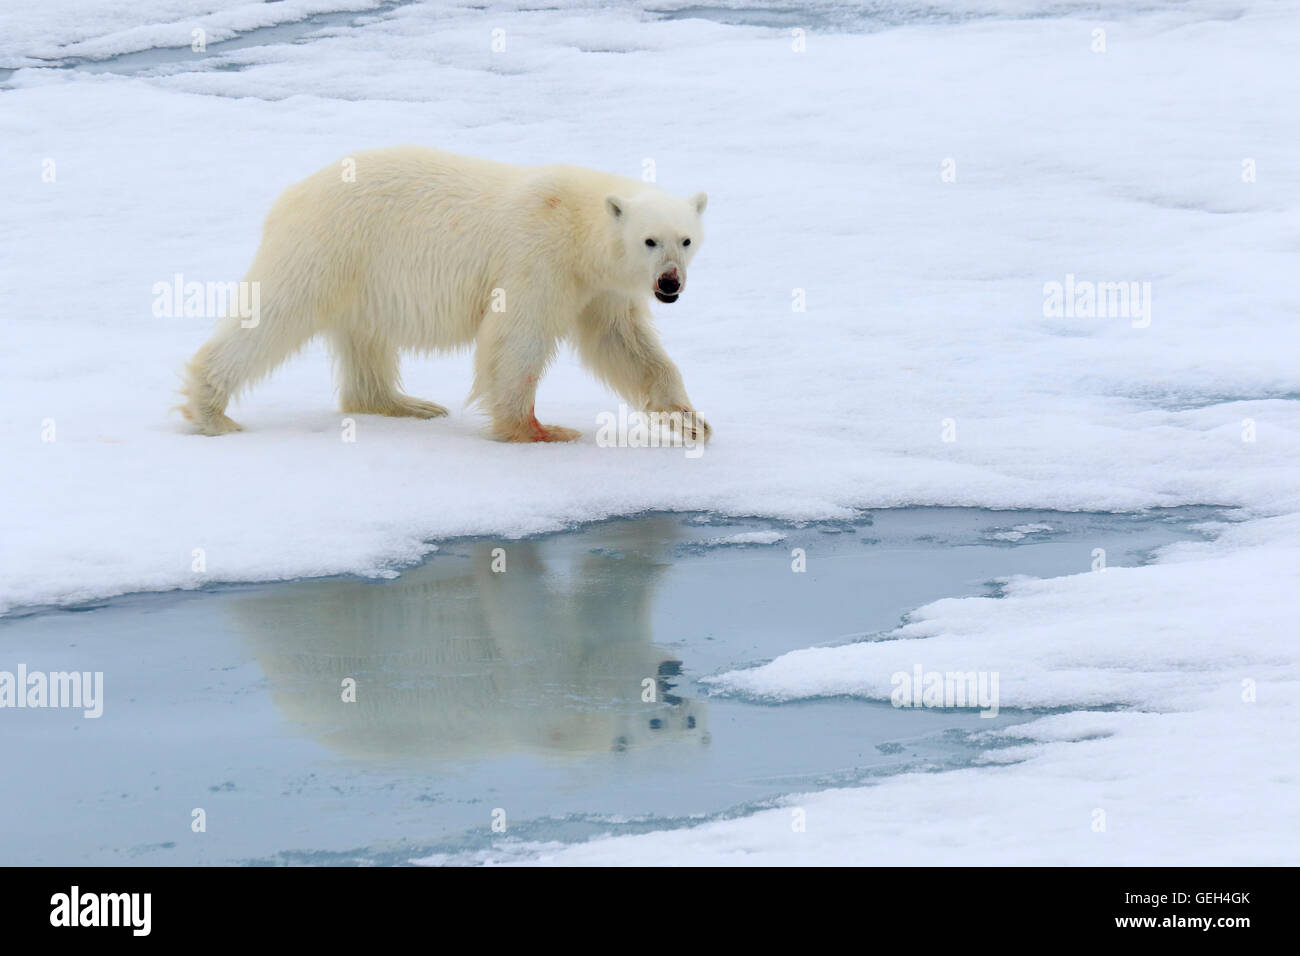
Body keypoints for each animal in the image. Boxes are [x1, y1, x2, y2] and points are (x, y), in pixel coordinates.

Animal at [178, 146, 711, 444]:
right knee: (275, 314)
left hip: (361, 273)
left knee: (365, 339)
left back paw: (405, 404)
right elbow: (517, 338)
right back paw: (211, 411)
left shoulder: (599, 288)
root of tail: (289, 195)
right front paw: (538, 430)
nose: (670, 283)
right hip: (329, 245)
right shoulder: (538, 257)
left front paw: (689, 421)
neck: (578, 223)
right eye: (649, 240)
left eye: (686, 239)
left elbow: (625, 345)